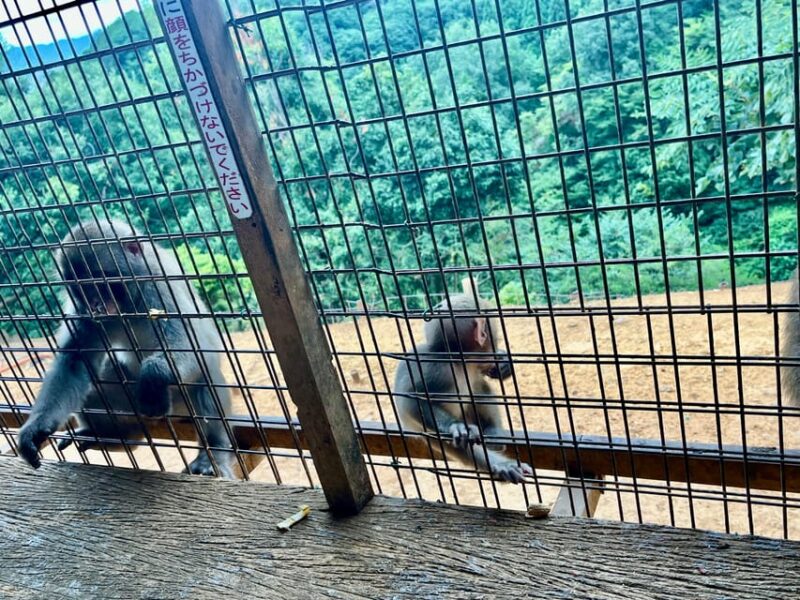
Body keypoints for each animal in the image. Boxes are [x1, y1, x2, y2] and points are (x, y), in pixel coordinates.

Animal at [16, 219, 235, 478]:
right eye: (83, 289)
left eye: (101, 282)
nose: (96, 305)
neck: (128, 302)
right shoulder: (82, 311)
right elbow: (75, 363)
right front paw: (37, 427)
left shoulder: (158, 289)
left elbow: (195, 348)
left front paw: (154, 376)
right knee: (97, 378)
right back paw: (116, 437)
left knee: (205, 376)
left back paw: (212, 454)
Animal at [393, 294, 533, 483]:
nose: (495, 348)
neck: (457, 359)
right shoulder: (436, 367)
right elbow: (409, 399)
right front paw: (456, 427)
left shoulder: (473, 364)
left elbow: (482, 378)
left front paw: (503, 364)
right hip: (431, 433)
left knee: (478, 387)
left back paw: (494, 437)